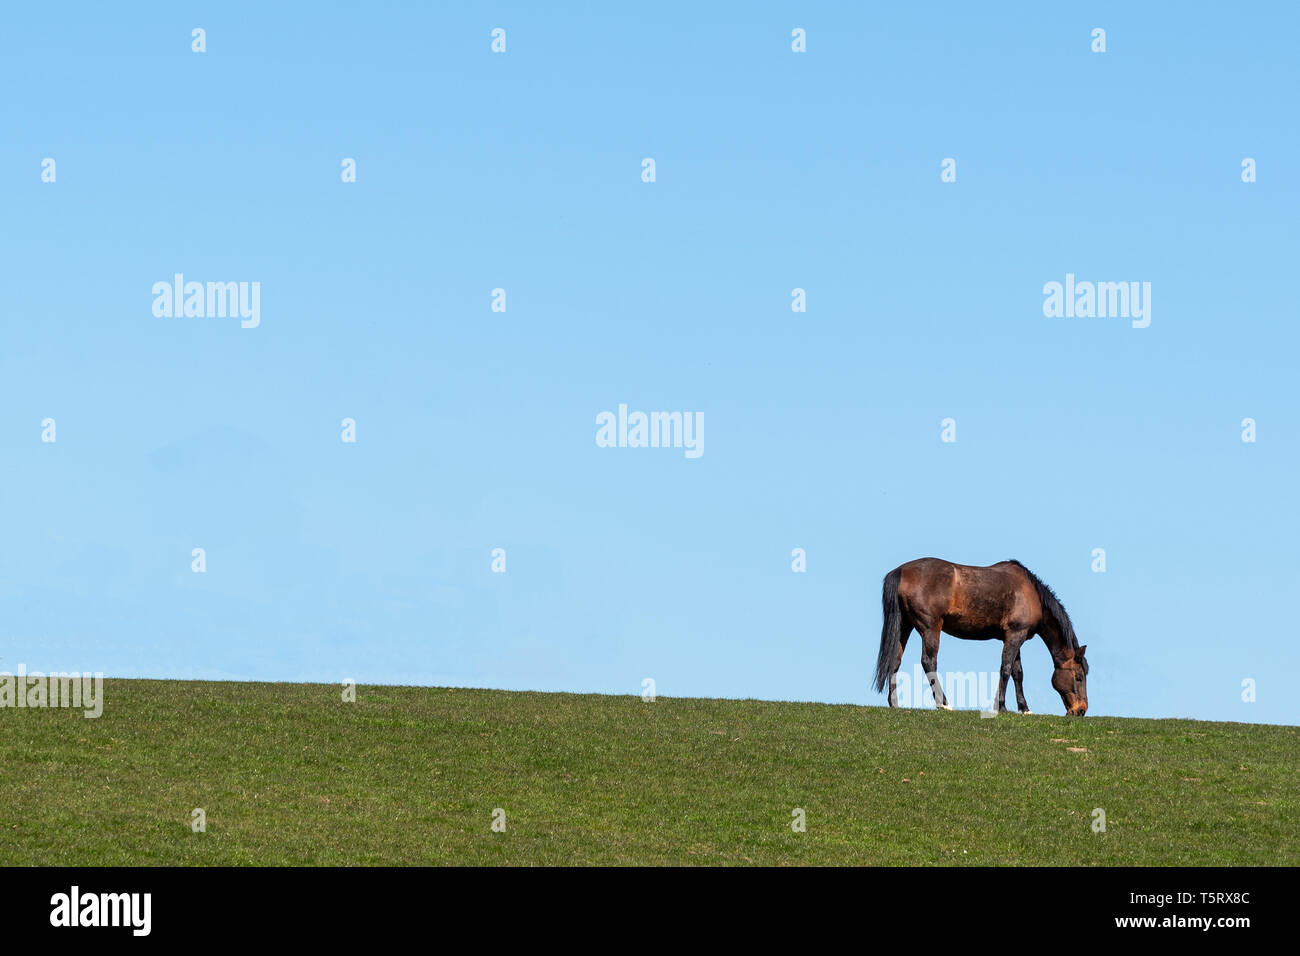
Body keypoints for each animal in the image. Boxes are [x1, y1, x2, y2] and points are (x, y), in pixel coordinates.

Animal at [873, 558, 1089, 715]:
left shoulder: (1014, 637)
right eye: (1078, 677)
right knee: (929, 661)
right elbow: (1005, 669)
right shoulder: (1015, 635)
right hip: (930, 628)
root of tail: (901, 571)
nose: (1081, 710)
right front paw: (1001, 707)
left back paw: (895, 704)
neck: (1031, 593)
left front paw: (1024, 709)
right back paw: (944, 704)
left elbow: (1018, 673)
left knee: (895, 662)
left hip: (904, 627)